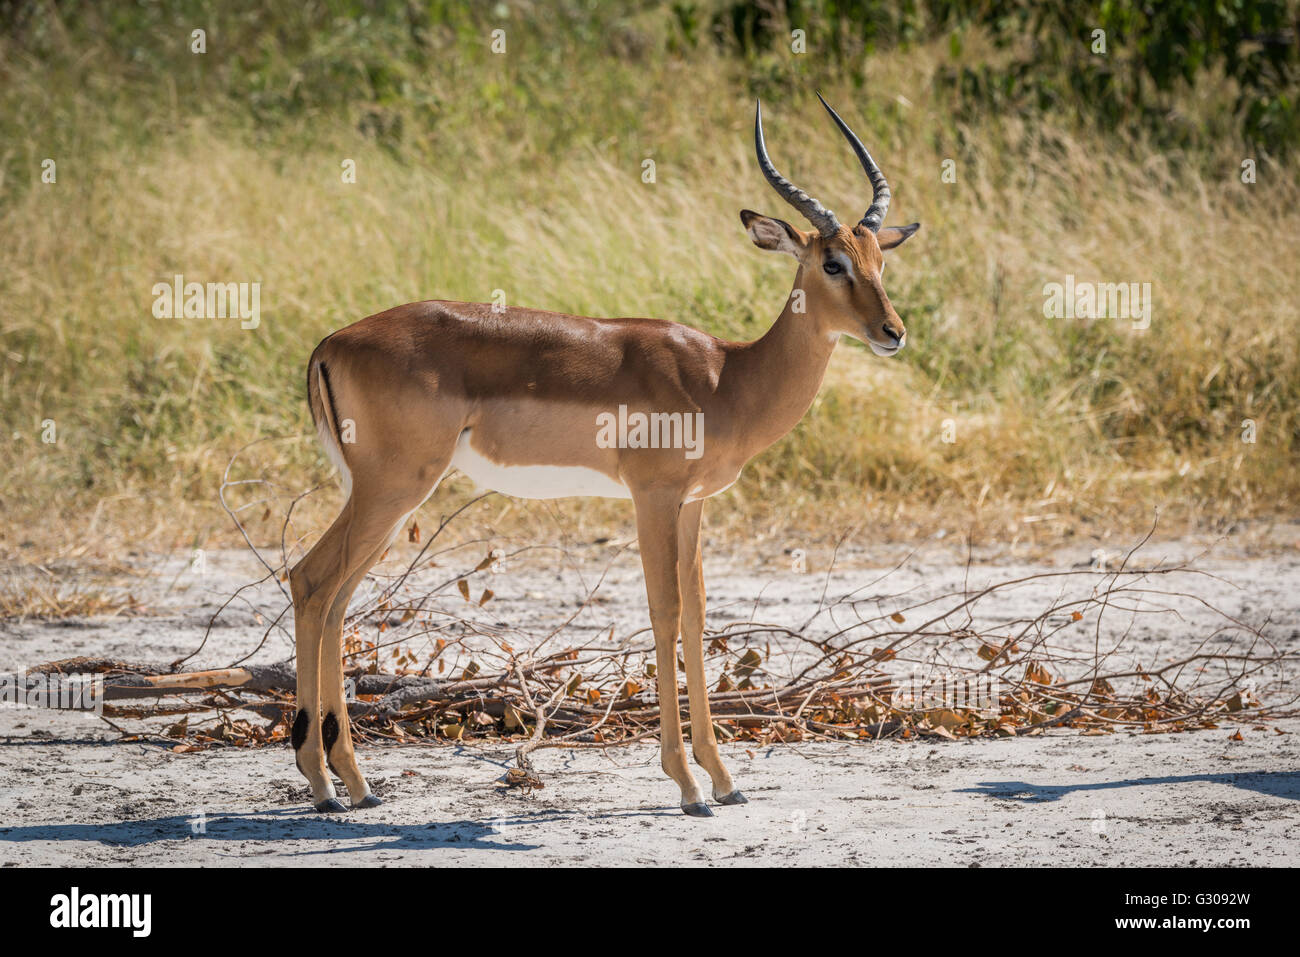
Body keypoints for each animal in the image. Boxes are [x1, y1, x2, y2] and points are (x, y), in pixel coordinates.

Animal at [290, 95, 920, 816]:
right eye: (832, 263)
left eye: (879, 261)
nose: (894, 332)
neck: (725, 377)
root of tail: (331, 342)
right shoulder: (653, 496)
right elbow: (664, 613)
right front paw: (688, 786)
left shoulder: (693, 505)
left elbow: (697, 615)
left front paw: (724, 778)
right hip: (393, 487)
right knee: (312, 581)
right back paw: (324, 785)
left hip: (385, 498)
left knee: (335, 598)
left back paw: (353, 784)